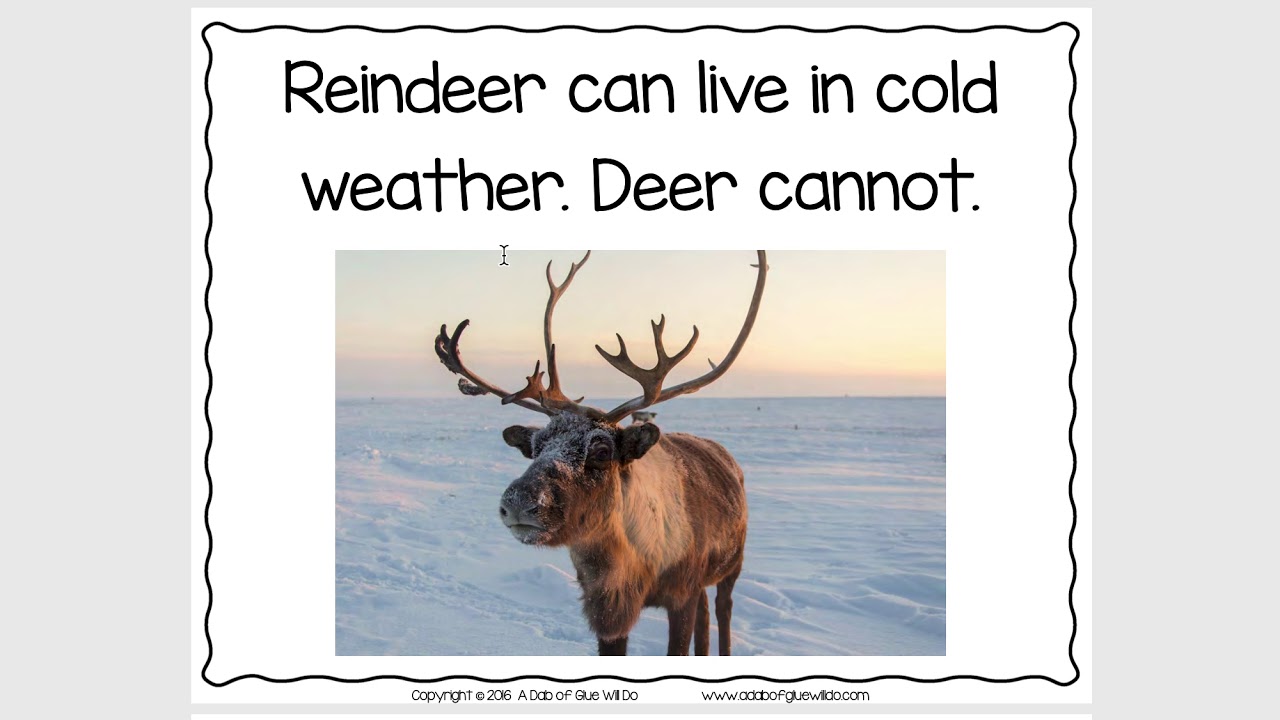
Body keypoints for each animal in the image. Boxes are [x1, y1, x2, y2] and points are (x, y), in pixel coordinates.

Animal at [434, 250, 766, 656]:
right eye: (535, 447)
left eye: (602, 450)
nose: (518, 502)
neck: (626, 572)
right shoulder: (605, 612)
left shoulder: (681, 594)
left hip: (732, 566)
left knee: (722, 610)